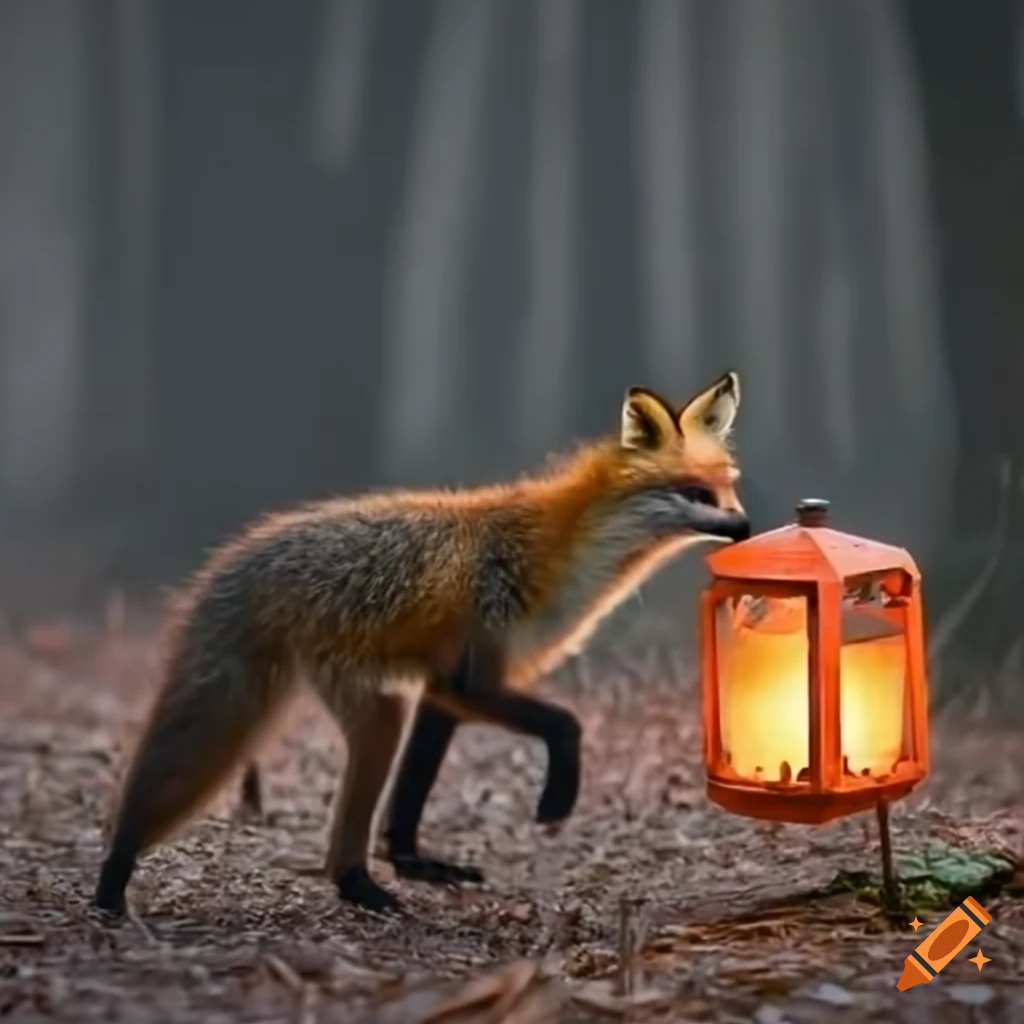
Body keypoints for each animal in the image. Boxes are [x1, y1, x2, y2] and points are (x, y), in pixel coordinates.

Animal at [93, 371, 749, 918]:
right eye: (696, 493)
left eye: (728, 490)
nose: (745, 526)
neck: (561, 552)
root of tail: (229, 560)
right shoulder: (474, 674)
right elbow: (566, 724)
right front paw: (557, 797)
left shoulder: (445, 685)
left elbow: (410, 799)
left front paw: (412, 861)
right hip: (305, 710)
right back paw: (118, 883)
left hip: (364, 705)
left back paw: (365, 884)